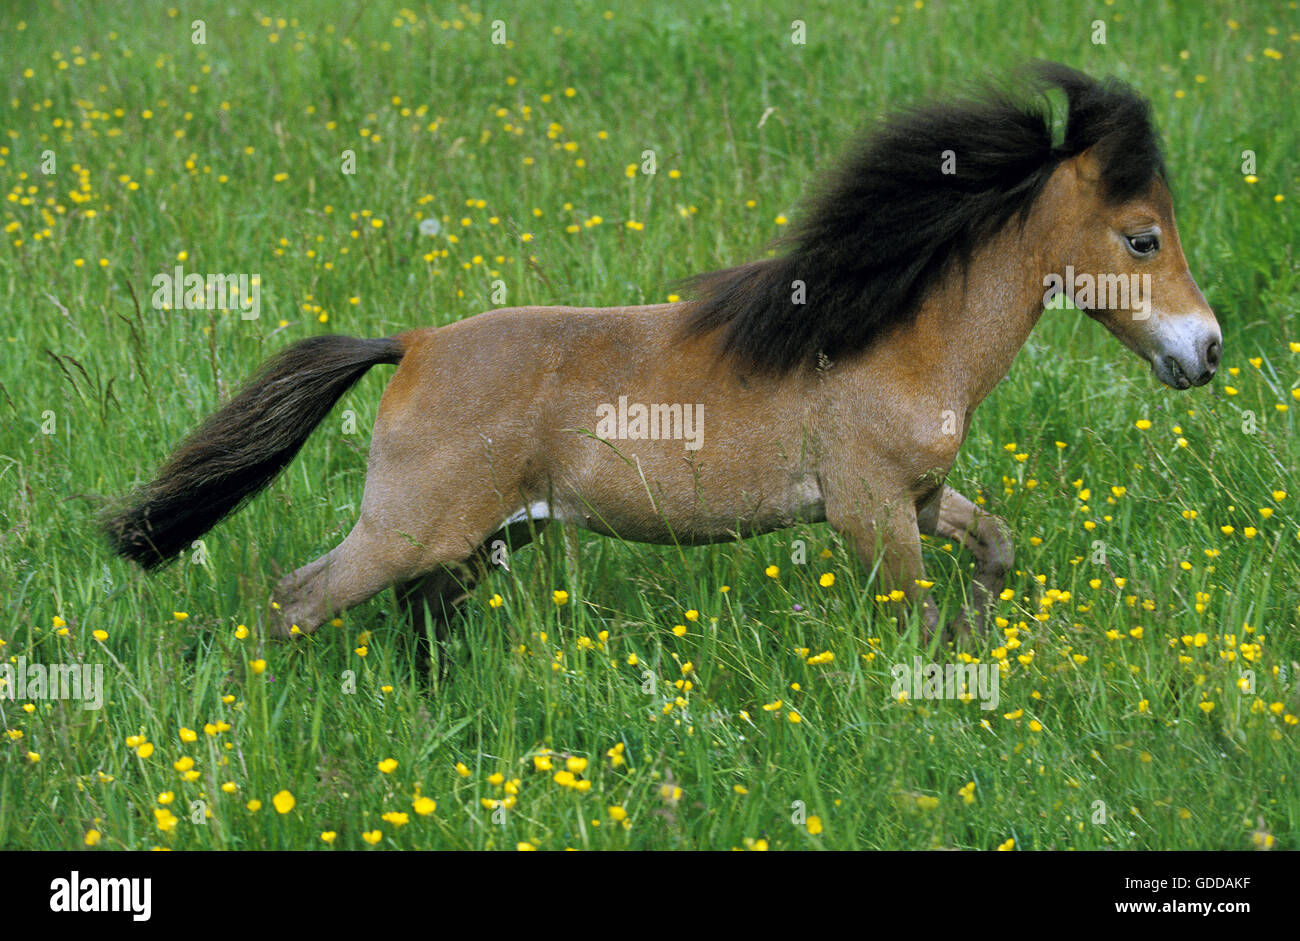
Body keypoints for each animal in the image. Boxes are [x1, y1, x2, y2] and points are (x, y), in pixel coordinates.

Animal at [104, 62, 1221, 646]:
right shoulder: (867, 512)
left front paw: (983, 629)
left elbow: (993, 544)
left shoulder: (918, 494)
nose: (1205, 351)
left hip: (477, 541)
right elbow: (914, 614)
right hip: (404, 532)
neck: (894, 343)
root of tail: (411, 344)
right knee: (294, 601)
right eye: (1141, 238)